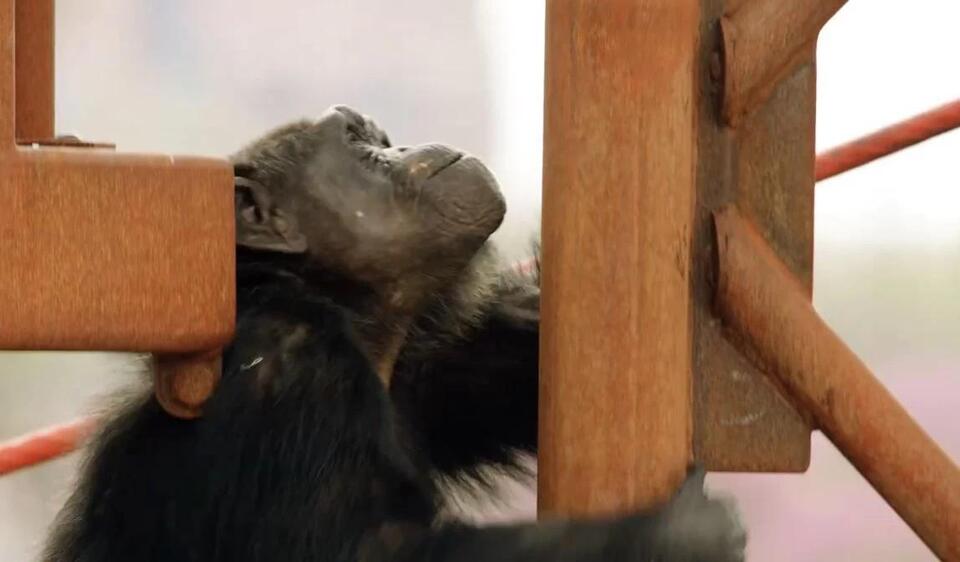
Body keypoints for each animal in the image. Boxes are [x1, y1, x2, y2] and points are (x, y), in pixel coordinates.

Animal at [40, 105, 746, 562]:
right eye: (356, 141)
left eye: (378, 136)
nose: (398, 146)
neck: (350, 312)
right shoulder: (295, 368)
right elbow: (370, 550)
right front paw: (681, 535)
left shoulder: (427, 373)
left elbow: (518, 362)